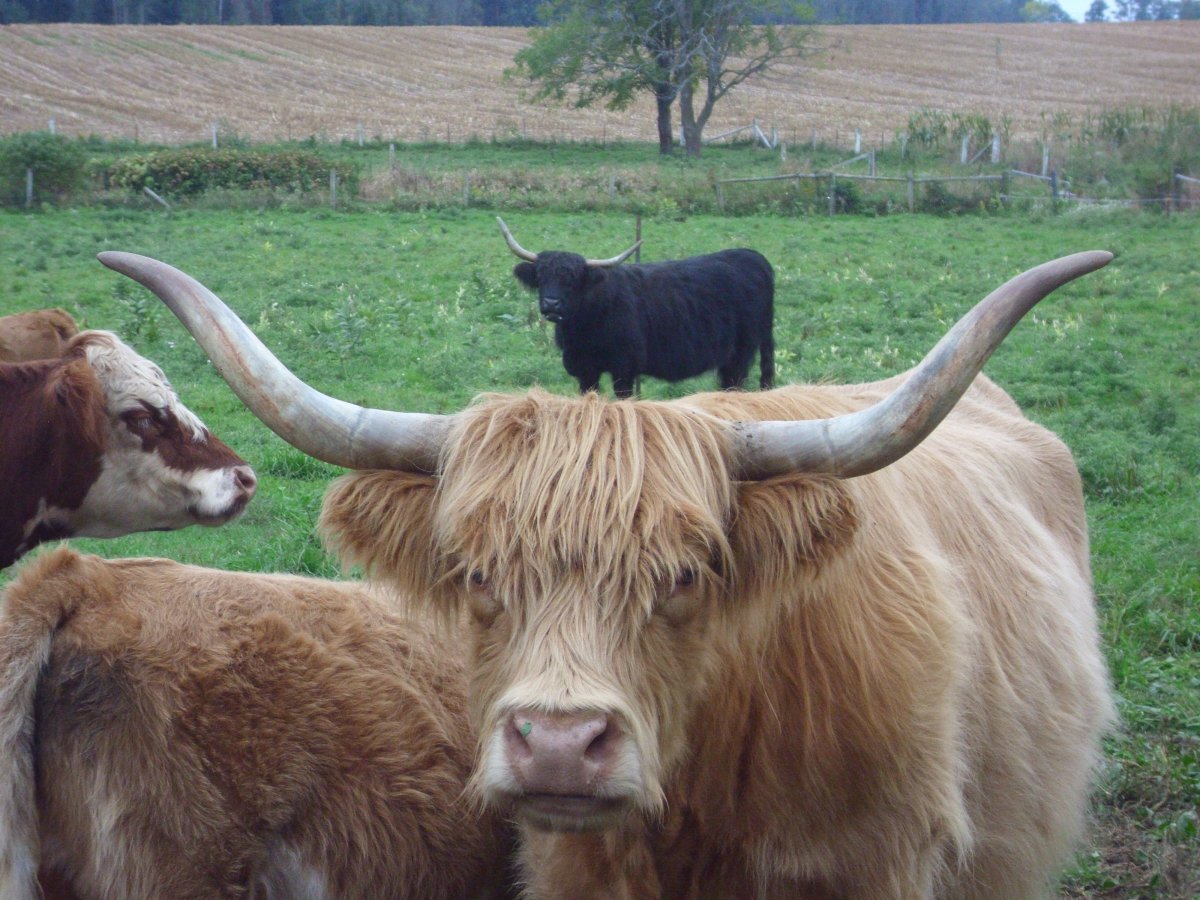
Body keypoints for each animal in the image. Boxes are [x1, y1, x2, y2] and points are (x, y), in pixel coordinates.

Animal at [498, 218, 775, 399]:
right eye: (541, 276)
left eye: (573, 279)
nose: (551, 304)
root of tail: (754, 257)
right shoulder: (584, 370)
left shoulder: (624, 367)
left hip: (741, 353)